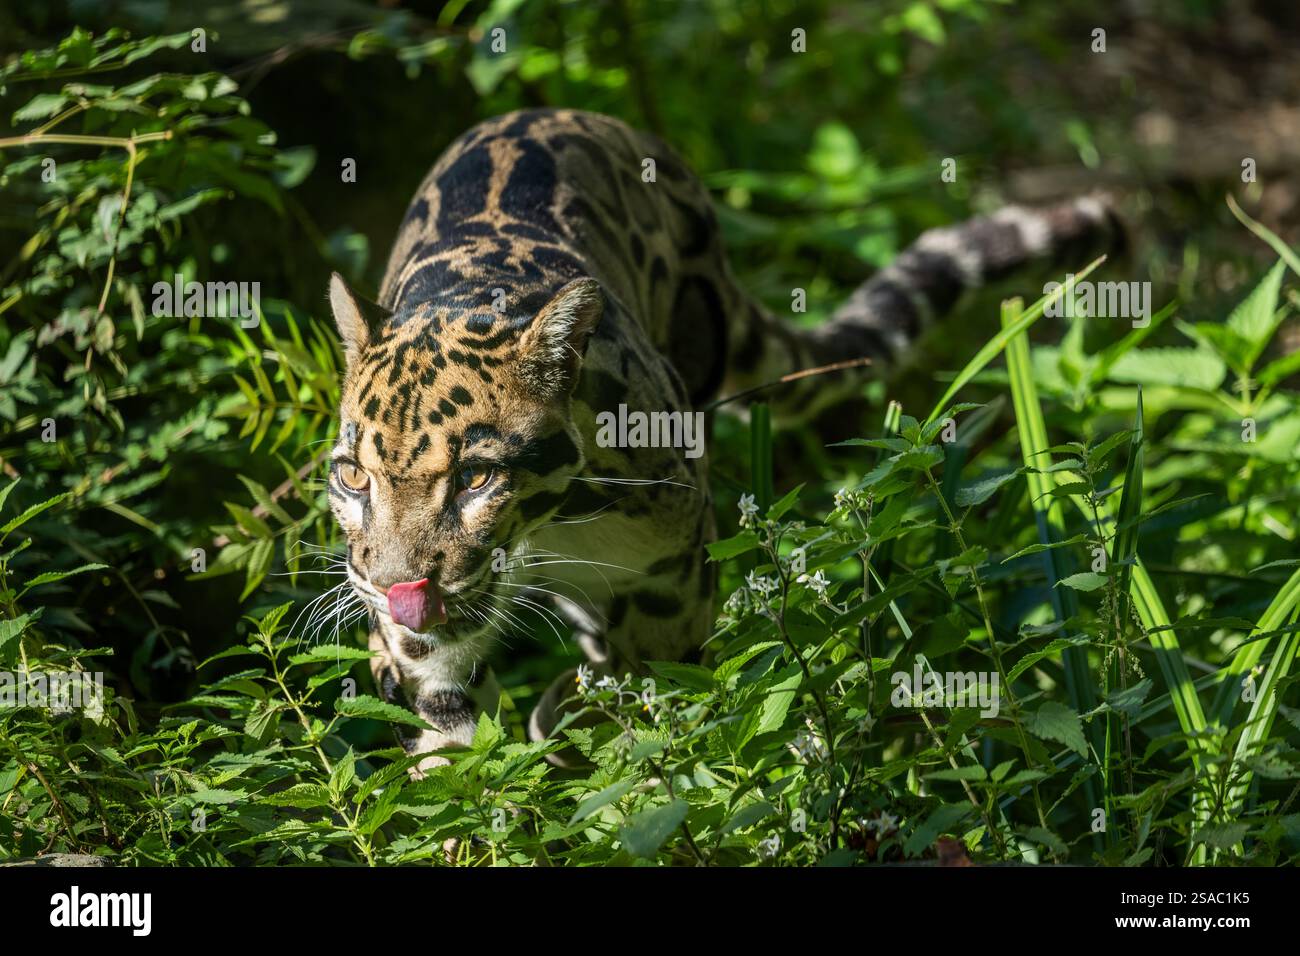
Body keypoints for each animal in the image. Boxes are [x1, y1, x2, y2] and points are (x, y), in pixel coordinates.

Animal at [325, 107, 1119, 771]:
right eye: (354, 478)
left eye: (476, 478)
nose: (396, 588)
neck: (542, 529)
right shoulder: (423, 650)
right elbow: (449, 745)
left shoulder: (671, 562)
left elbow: (659, 677)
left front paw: (633, 756)